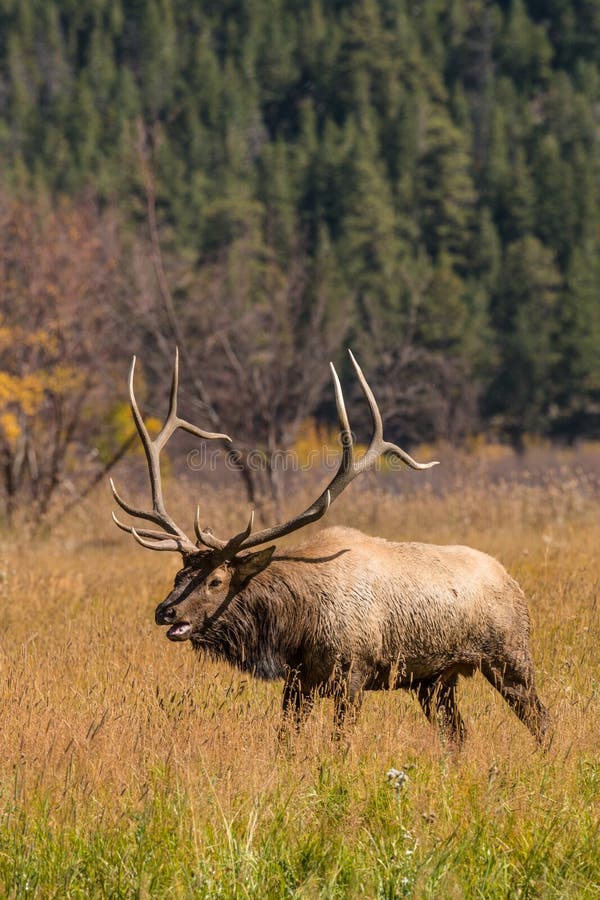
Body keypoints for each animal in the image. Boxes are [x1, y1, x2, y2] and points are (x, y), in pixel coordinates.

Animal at [111, 349, 549, 747]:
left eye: (216, 580)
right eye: (179, 574)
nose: (165, 611)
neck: (298, 624)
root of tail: (513, 582)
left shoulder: (353, 673)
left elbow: (340, 743)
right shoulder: (298, 680)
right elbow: (285, 740)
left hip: (510, 658)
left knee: (541, 720)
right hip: (434, 679)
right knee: (457, 735)